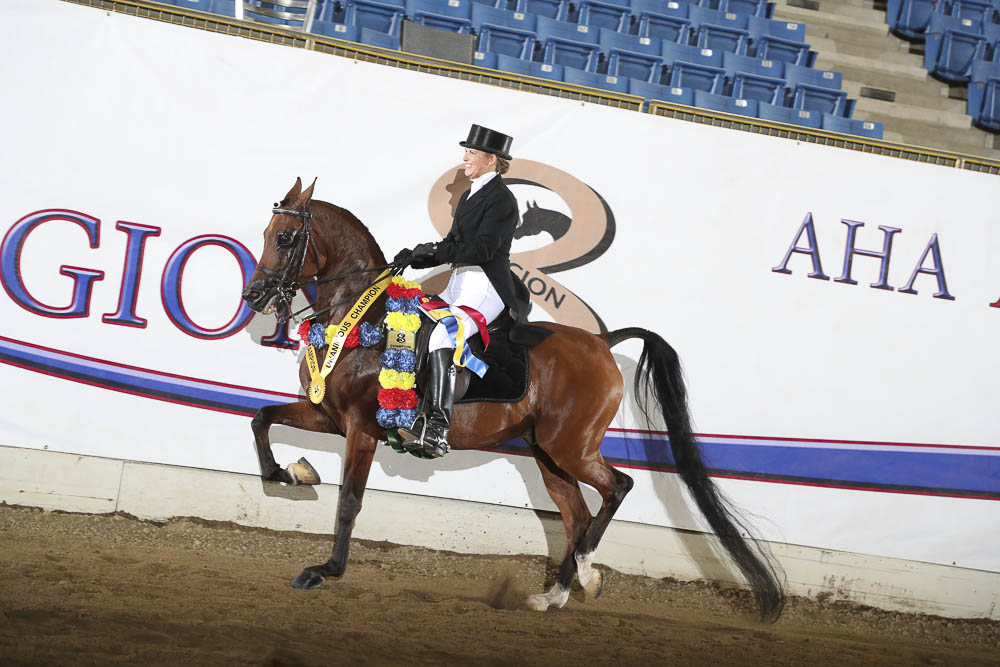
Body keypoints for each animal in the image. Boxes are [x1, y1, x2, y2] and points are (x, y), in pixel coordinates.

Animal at [241, 177, 784, 620]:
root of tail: (601, 343)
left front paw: (324, 569)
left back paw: (587, 571)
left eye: (285, 237)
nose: (255, 296)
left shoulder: (361, 428)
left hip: (571, 447)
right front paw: (291, 474)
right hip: (547, 453)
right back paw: (554, 596)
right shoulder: (327, 415)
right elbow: (261, 418)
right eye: (267, 233)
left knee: (618, 488)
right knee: (577, 514)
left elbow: (349, 501)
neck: (362, 316)